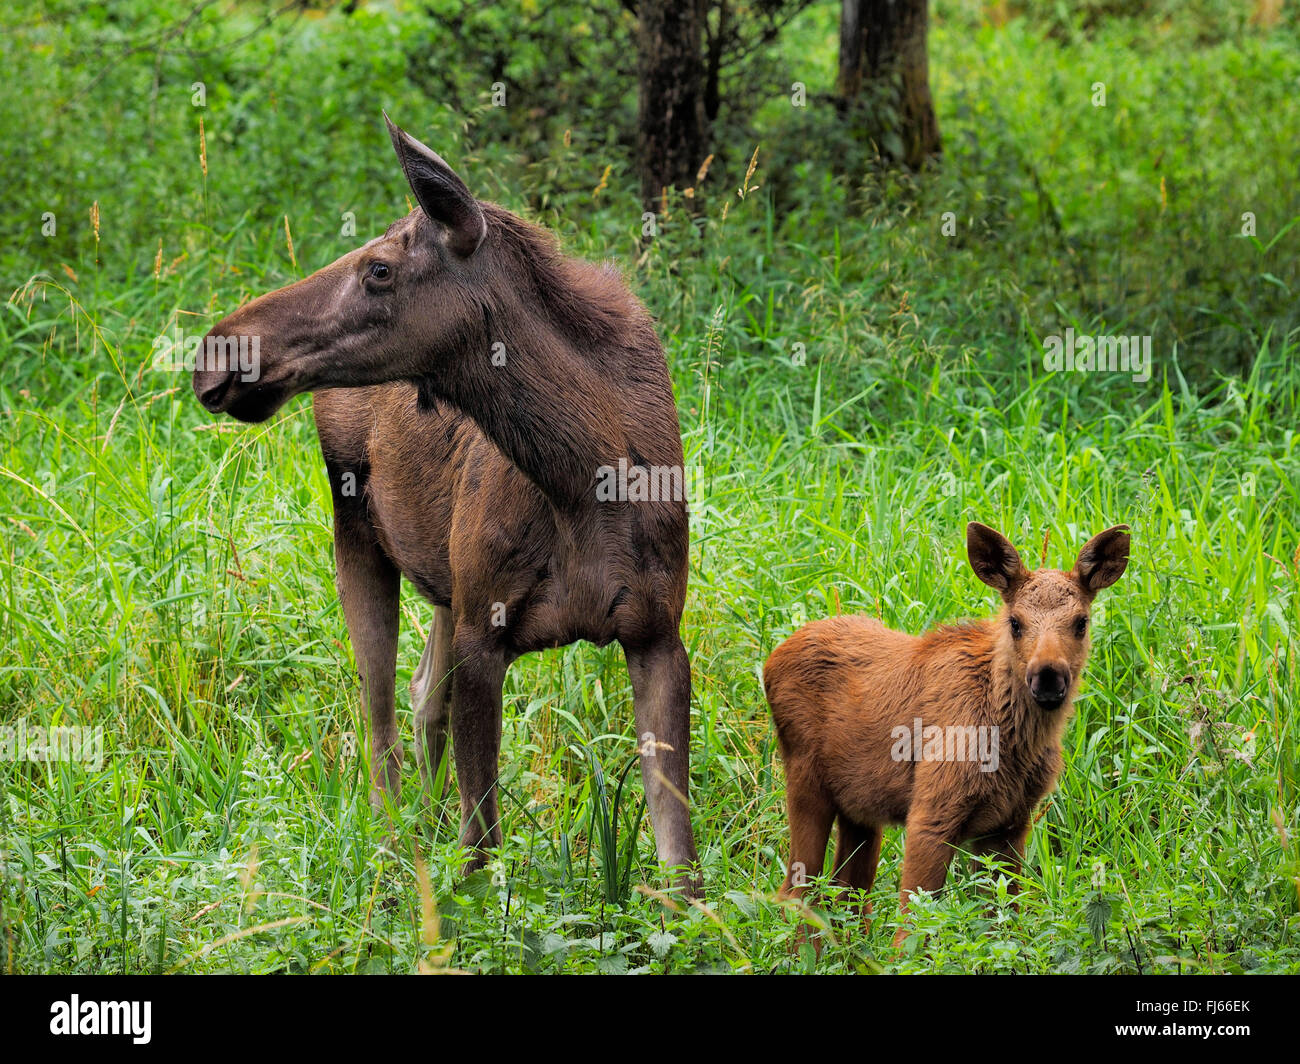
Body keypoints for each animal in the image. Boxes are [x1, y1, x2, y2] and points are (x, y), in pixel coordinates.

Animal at [192, 114, 700, 896]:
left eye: (378, 269)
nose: (217, 354)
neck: (587, 480)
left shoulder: (656, 633)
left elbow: (682, 871)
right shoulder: (484, 633)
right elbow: (483, 847)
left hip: (438, 579)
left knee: (421, 691)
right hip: (358, 532)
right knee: (379, 721)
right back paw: (393, 853)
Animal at [763, 522, 1130, 947]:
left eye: (1081, 621)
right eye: (1015, 621)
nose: (1048, 676)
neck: (1010, 738)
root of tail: (770, 662)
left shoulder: (1010, 824)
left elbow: (1006, 924)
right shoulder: (932, 812)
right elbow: (911, 932)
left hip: (860, 809)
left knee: (848, 894)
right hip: (806, 782)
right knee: (798, 892)